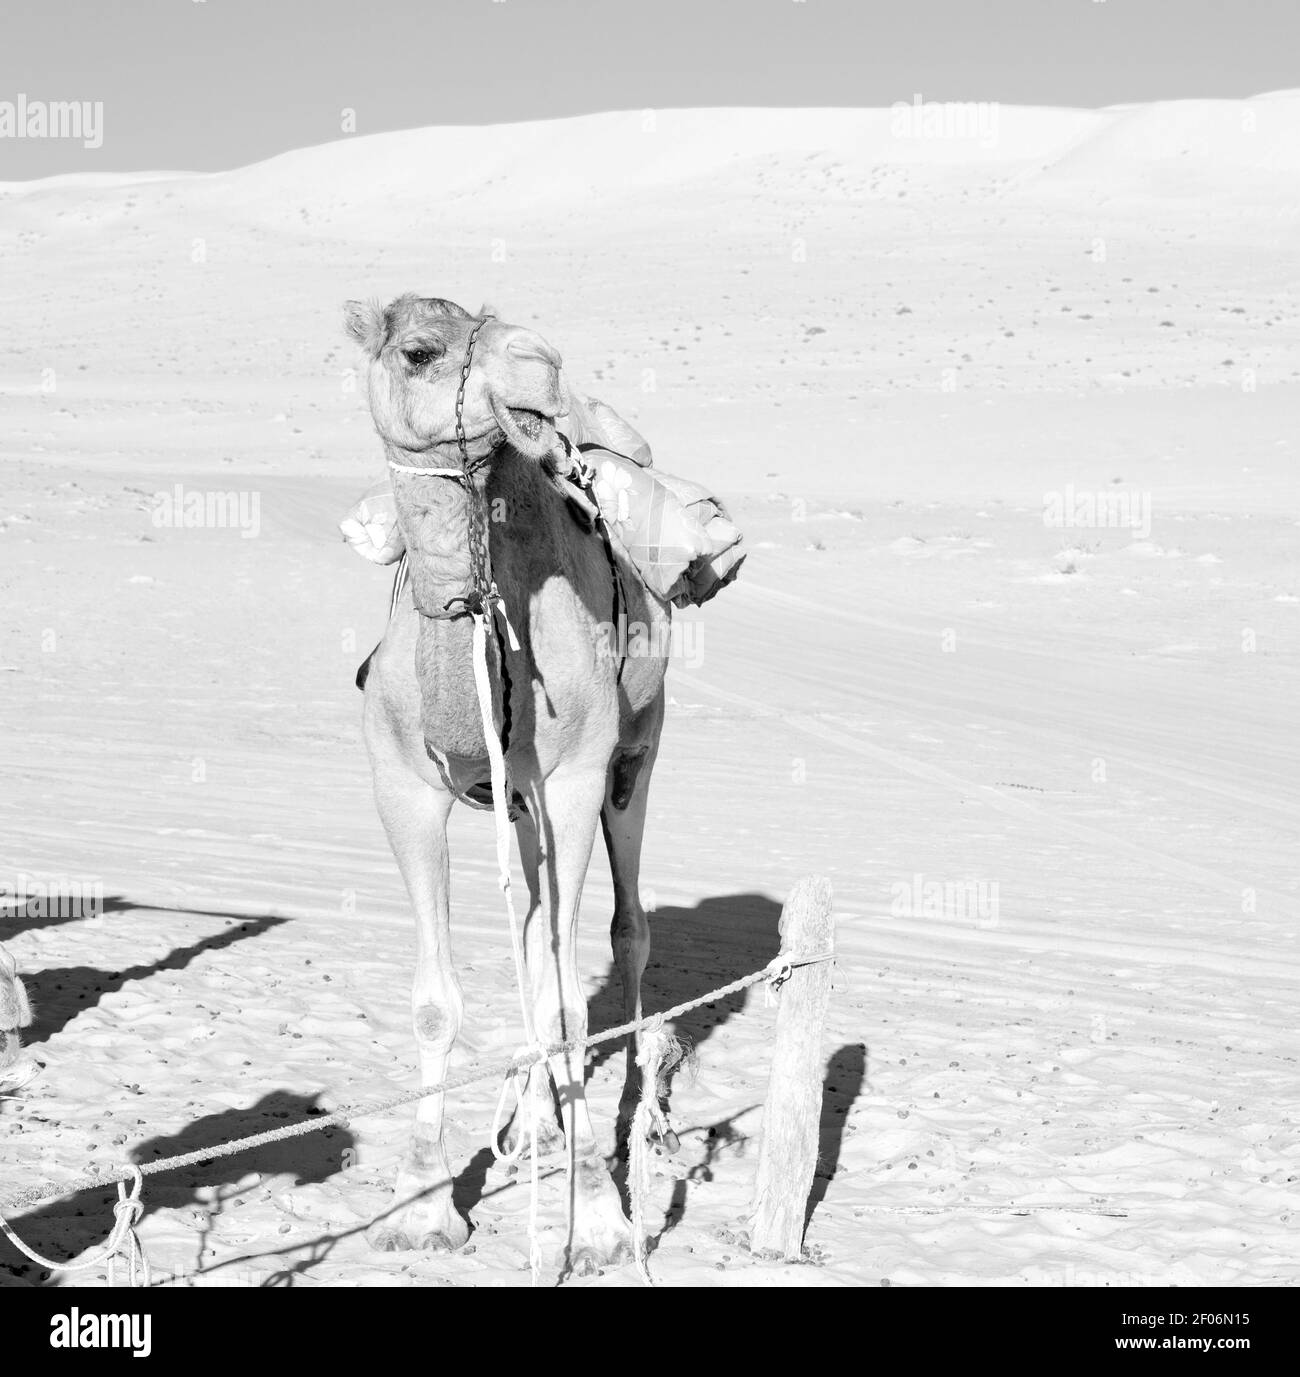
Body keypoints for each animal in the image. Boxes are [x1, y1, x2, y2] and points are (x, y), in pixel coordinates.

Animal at [345, 294, 672, 1271]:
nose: (544, 361)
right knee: (532, 933)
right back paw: (531, 1126)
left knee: (625, 929)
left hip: (637, 755)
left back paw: (630, 1118)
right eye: (420, 350)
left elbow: (566, 997)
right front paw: (422, 1202)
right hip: (516, 804)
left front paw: (597, 1219)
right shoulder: (402, 784)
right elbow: (435, 1001)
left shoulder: (570, 779)